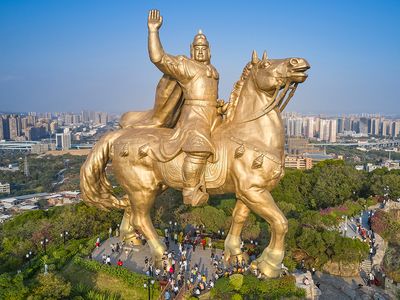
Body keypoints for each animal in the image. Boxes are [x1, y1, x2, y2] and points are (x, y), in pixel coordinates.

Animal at [80, 50, 310, 278]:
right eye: (265, 65)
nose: (298, 61)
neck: (251, 136)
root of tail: (118, 135)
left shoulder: (250, 192)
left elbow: (239, 218)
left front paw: (236, 254)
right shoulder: (253, 191)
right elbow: (280, 223)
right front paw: (269, 265)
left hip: (148, 186)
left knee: (129, 206)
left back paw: (130, 238)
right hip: (142, 189)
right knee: (141, 219)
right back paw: (162, 256)